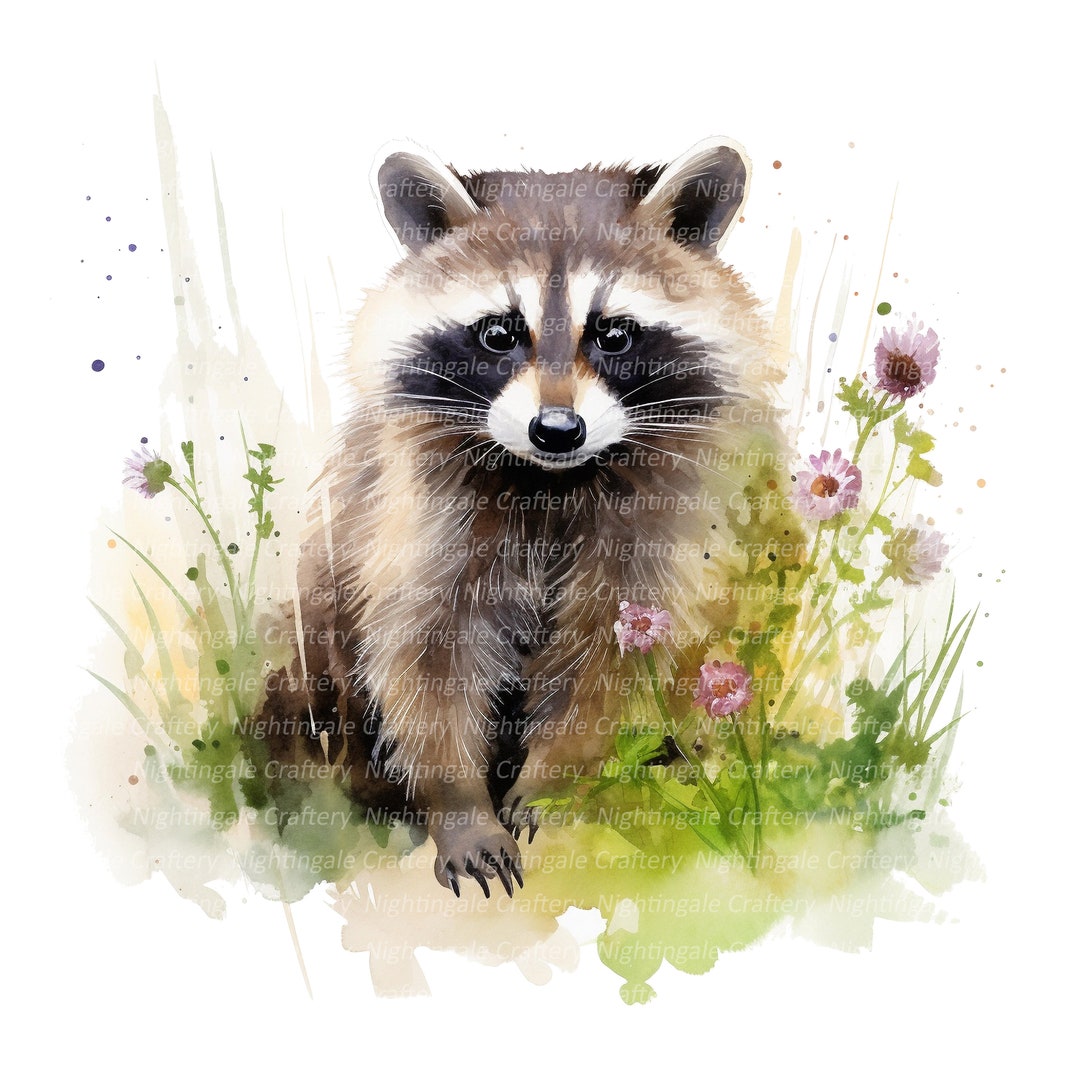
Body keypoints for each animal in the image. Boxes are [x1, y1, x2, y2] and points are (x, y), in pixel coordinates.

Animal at [254, 139, 784, 898]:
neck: (551, 481)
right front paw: (461, 808)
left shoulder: (656, 523)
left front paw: (554, 785)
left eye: (615, 335)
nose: (556, 429)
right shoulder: (415, 514)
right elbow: (425, 657)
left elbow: (609, 663)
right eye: (499, 333)